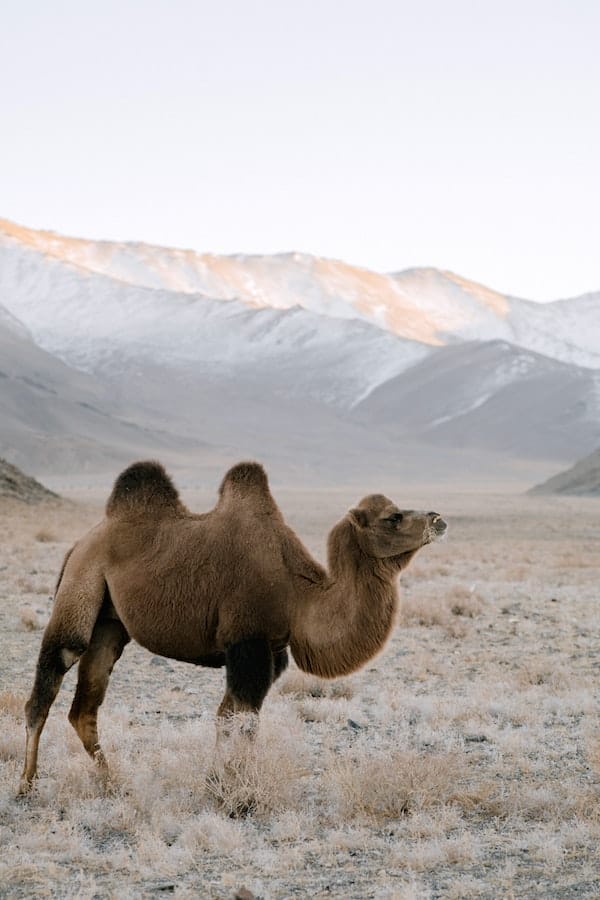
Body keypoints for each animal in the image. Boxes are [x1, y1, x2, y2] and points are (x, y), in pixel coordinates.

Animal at [18, 460, 447, 795]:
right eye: (393, 517)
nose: (438, 519)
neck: (297, 592)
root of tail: (80, 543)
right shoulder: (247, 641)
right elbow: (242, 720)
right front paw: (237, 789)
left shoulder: (270, 651)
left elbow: (230, 717)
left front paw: (218, 782)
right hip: (81, 584)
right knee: (53, 674)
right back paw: (27, 784)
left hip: (110, 623)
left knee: (85, 707)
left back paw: (112, 782)